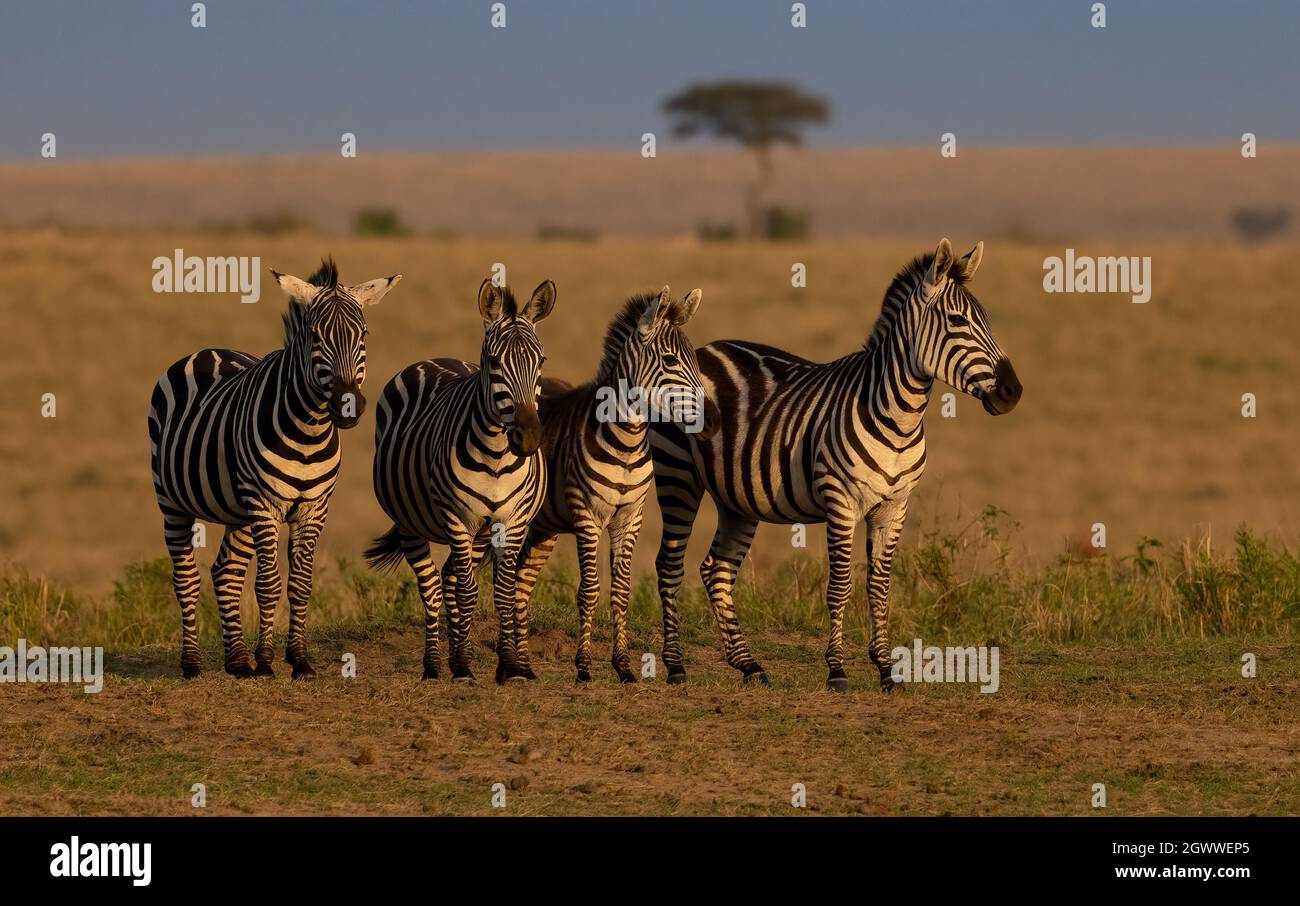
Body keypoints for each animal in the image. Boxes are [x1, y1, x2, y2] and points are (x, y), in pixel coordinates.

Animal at [148, 258, 402, 678]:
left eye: (363, 333)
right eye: (315, 336)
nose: (348, 405)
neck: (308, 432)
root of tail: (207, 351)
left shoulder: (314, 508)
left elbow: (300, 584)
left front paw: (298, 659)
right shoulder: (265, 505)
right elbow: (268, 584)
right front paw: (266, 661)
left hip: (237, 510)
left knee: (226, 572)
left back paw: (237, 661)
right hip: (172, 502)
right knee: (186, 578)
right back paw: (193, 663)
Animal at [365, 278, 556, 684]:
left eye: (541, 361)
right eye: (495, 363)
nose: (529, 438)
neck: (497, 456)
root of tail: (433, 360)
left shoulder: (511, 522)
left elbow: (503, 592)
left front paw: (509, 666)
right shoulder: (457, 518)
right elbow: (467, 593)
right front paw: (466, 667)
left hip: (479, 534)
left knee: (450, 577)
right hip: (412, 523)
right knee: (432, 587)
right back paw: (434, 665)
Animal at [506, 286, 719, 684]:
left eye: (696, 362)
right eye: (670, 360)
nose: (712, 421)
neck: (628, 440)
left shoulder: (629, 517)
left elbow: (621, 590)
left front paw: (622, 666)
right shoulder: (587, 516)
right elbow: (589, 590)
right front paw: (584, 667)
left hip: (542, 527)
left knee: (520, 581)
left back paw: (521, 664)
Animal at [650, 239, 1022, 692]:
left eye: (987, 319)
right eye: (957, 321)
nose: (1012, 392)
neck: (899, 417)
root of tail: (701, 350)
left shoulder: (895, 507)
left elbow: (879, 587)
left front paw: (886, 669)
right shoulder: (841, 502)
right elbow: (840, 586)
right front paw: (837, 669)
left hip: (737, 498)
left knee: (716, 570)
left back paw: (749, 665)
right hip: (678, 476)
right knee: (670, 565)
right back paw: (676, 666)